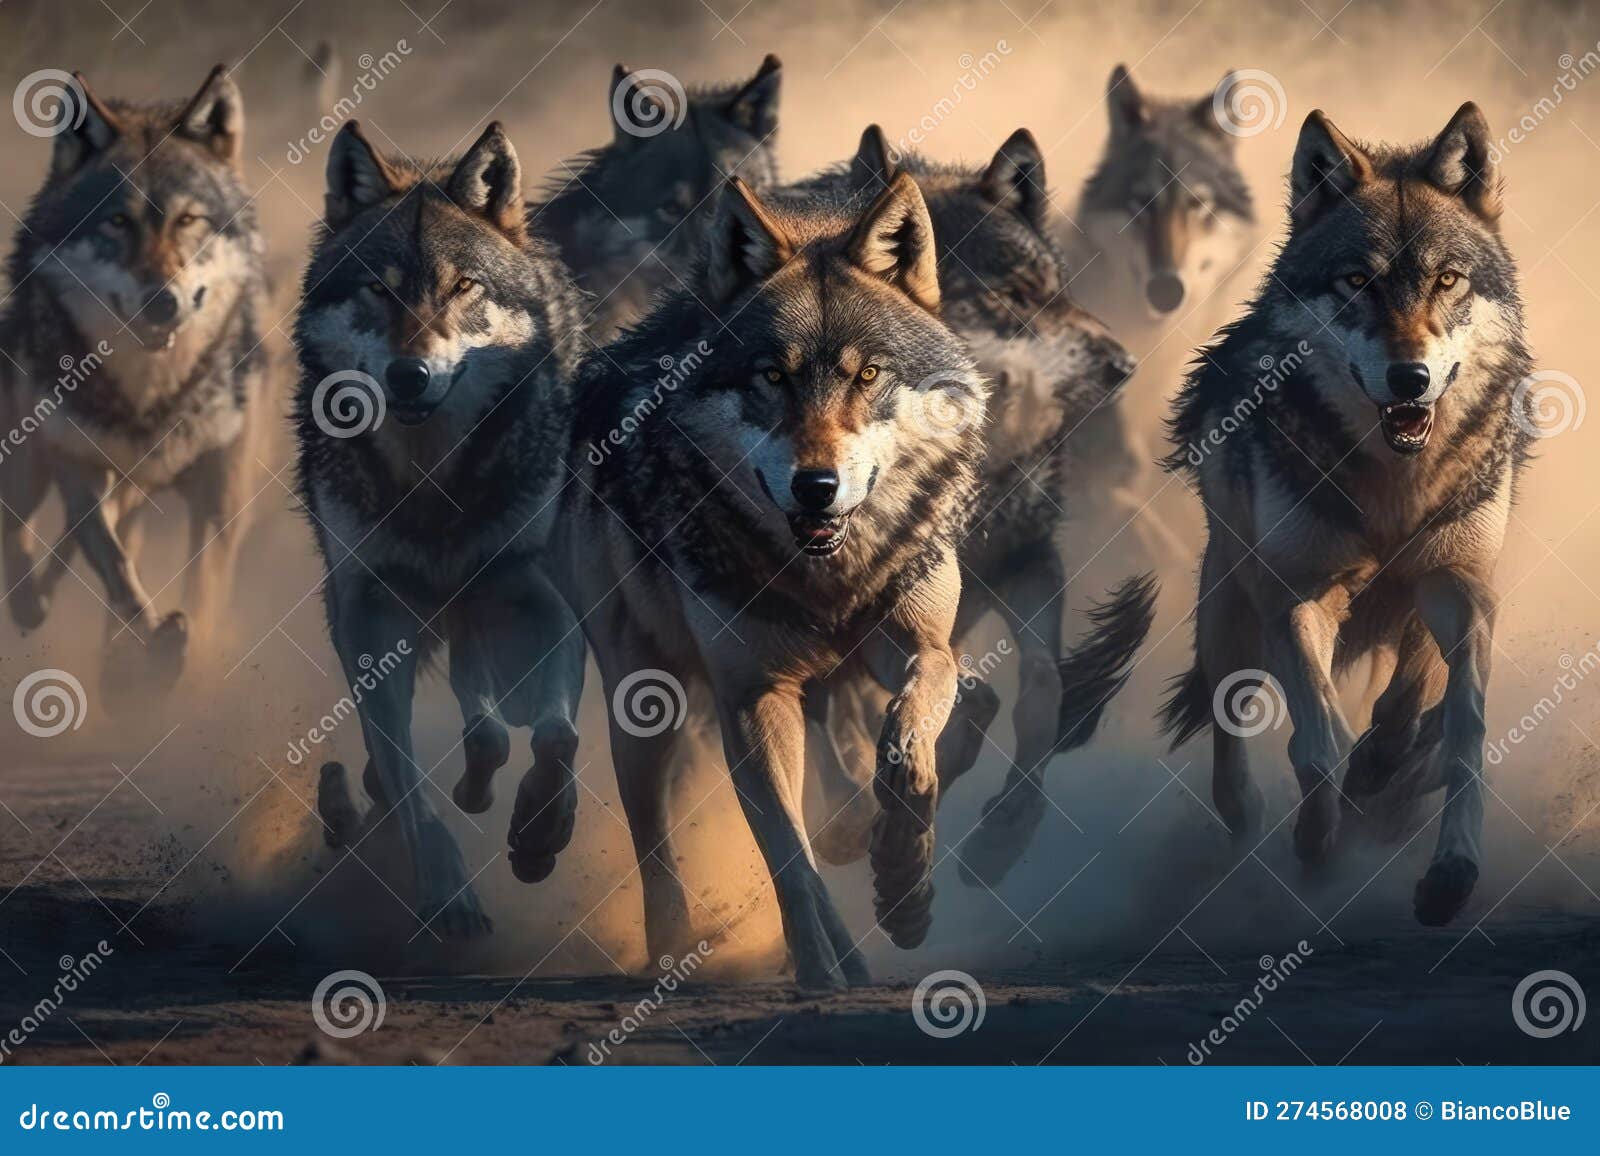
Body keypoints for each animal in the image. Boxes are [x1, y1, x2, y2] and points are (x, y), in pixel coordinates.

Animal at [0, 66, 270, 704]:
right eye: (117, 221)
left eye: (188, 220)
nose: (162, 302)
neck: (151, 395)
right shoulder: (81, 470)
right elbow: (119, 572)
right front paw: (154, 654)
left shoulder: (220, 493)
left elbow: (202, 590)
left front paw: (187, 666)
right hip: (32, 463)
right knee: (21, 538)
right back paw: (36, 610)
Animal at [295, 120, 588, 938]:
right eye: (379, 288)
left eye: (463, 287)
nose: (410, 375)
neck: (433, 487)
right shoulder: (365, 613)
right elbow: (405, 777)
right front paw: (448, 890)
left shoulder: (537, 592)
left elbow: (556, 736)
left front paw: (539, 835)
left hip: (477, 608)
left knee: (486, 718)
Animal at [556, 171, 987, 987]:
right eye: (772, 376)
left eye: (868, 375)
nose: (816, 487)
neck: (827, 577)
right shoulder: (753, 697)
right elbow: (790, 857)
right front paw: (819, 961)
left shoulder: (920, 643)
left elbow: (911, 733)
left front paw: (904, 881)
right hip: (644, 705)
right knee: (657, 845)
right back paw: (687, 951)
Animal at [787, 126, 1157, 887]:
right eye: (1011, 296)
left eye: (1057, 292)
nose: (1126, 367)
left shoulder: (1028, 563)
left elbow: (1040, 689)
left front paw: (1004, 837)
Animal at [1159, 103, 1531, 927]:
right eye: (1357, 281)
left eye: (1447, 280)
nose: (1410, 378)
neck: (1394, 486)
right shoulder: (1301, 597)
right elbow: (1317, 742)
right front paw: (1317, 840)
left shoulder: (1459, 584)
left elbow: (1461, 724)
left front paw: (1451, 870)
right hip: (1231, 618)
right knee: (1234, 766)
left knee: (1408, 701)